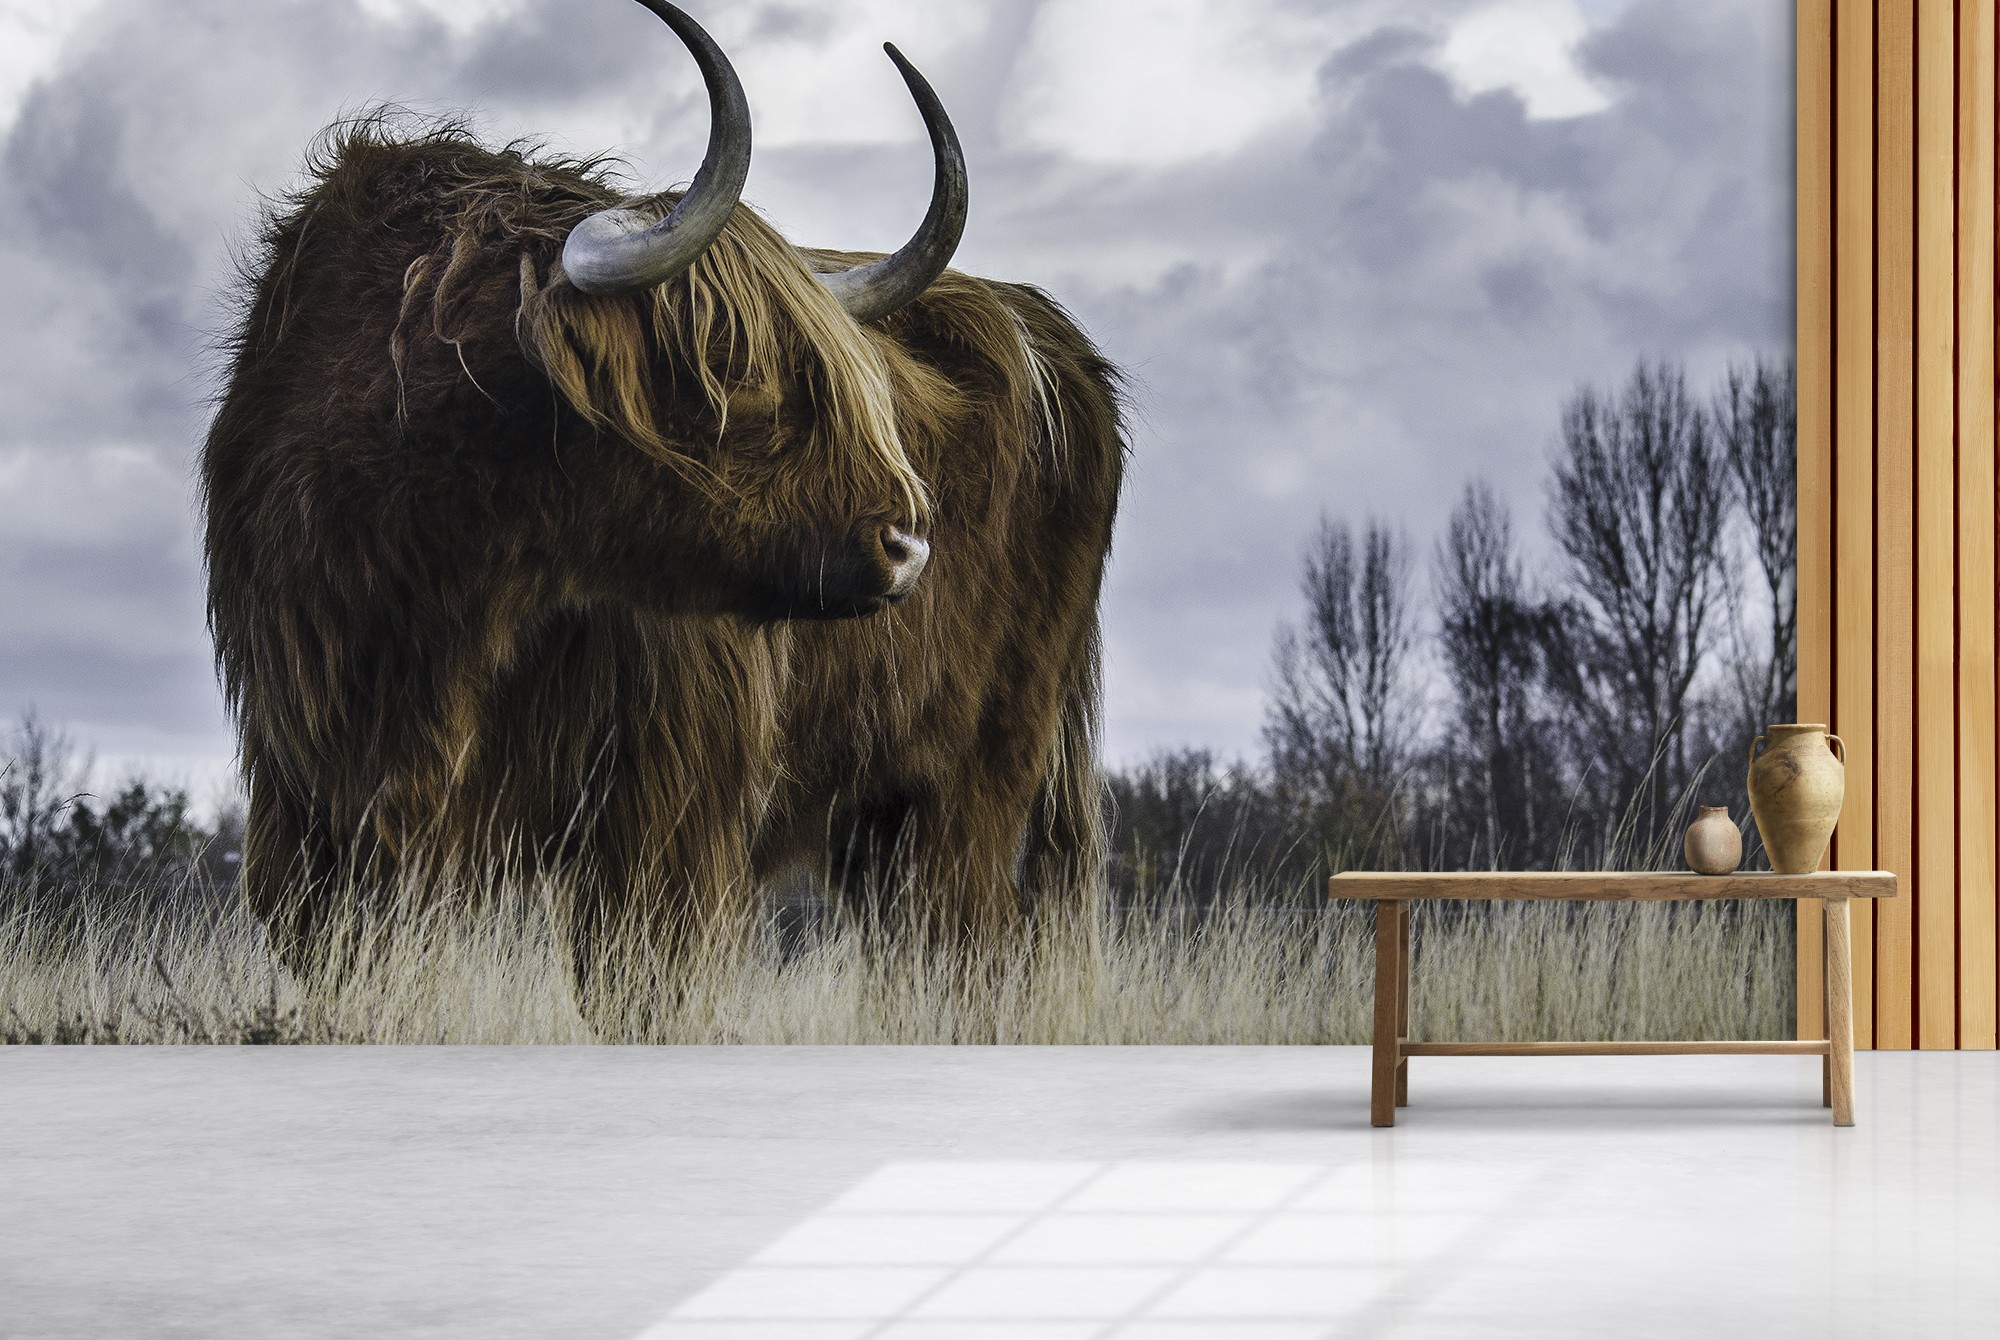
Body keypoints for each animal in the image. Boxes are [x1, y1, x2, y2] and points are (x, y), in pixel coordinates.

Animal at [201, 0, 1125, 1018]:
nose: (905, 546)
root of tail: (1053, 335)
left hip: (976, 778)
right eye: (734, 365)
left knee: (966, 942)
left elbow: (642, 979)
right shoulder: (311, 794)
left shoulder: (664, 811)